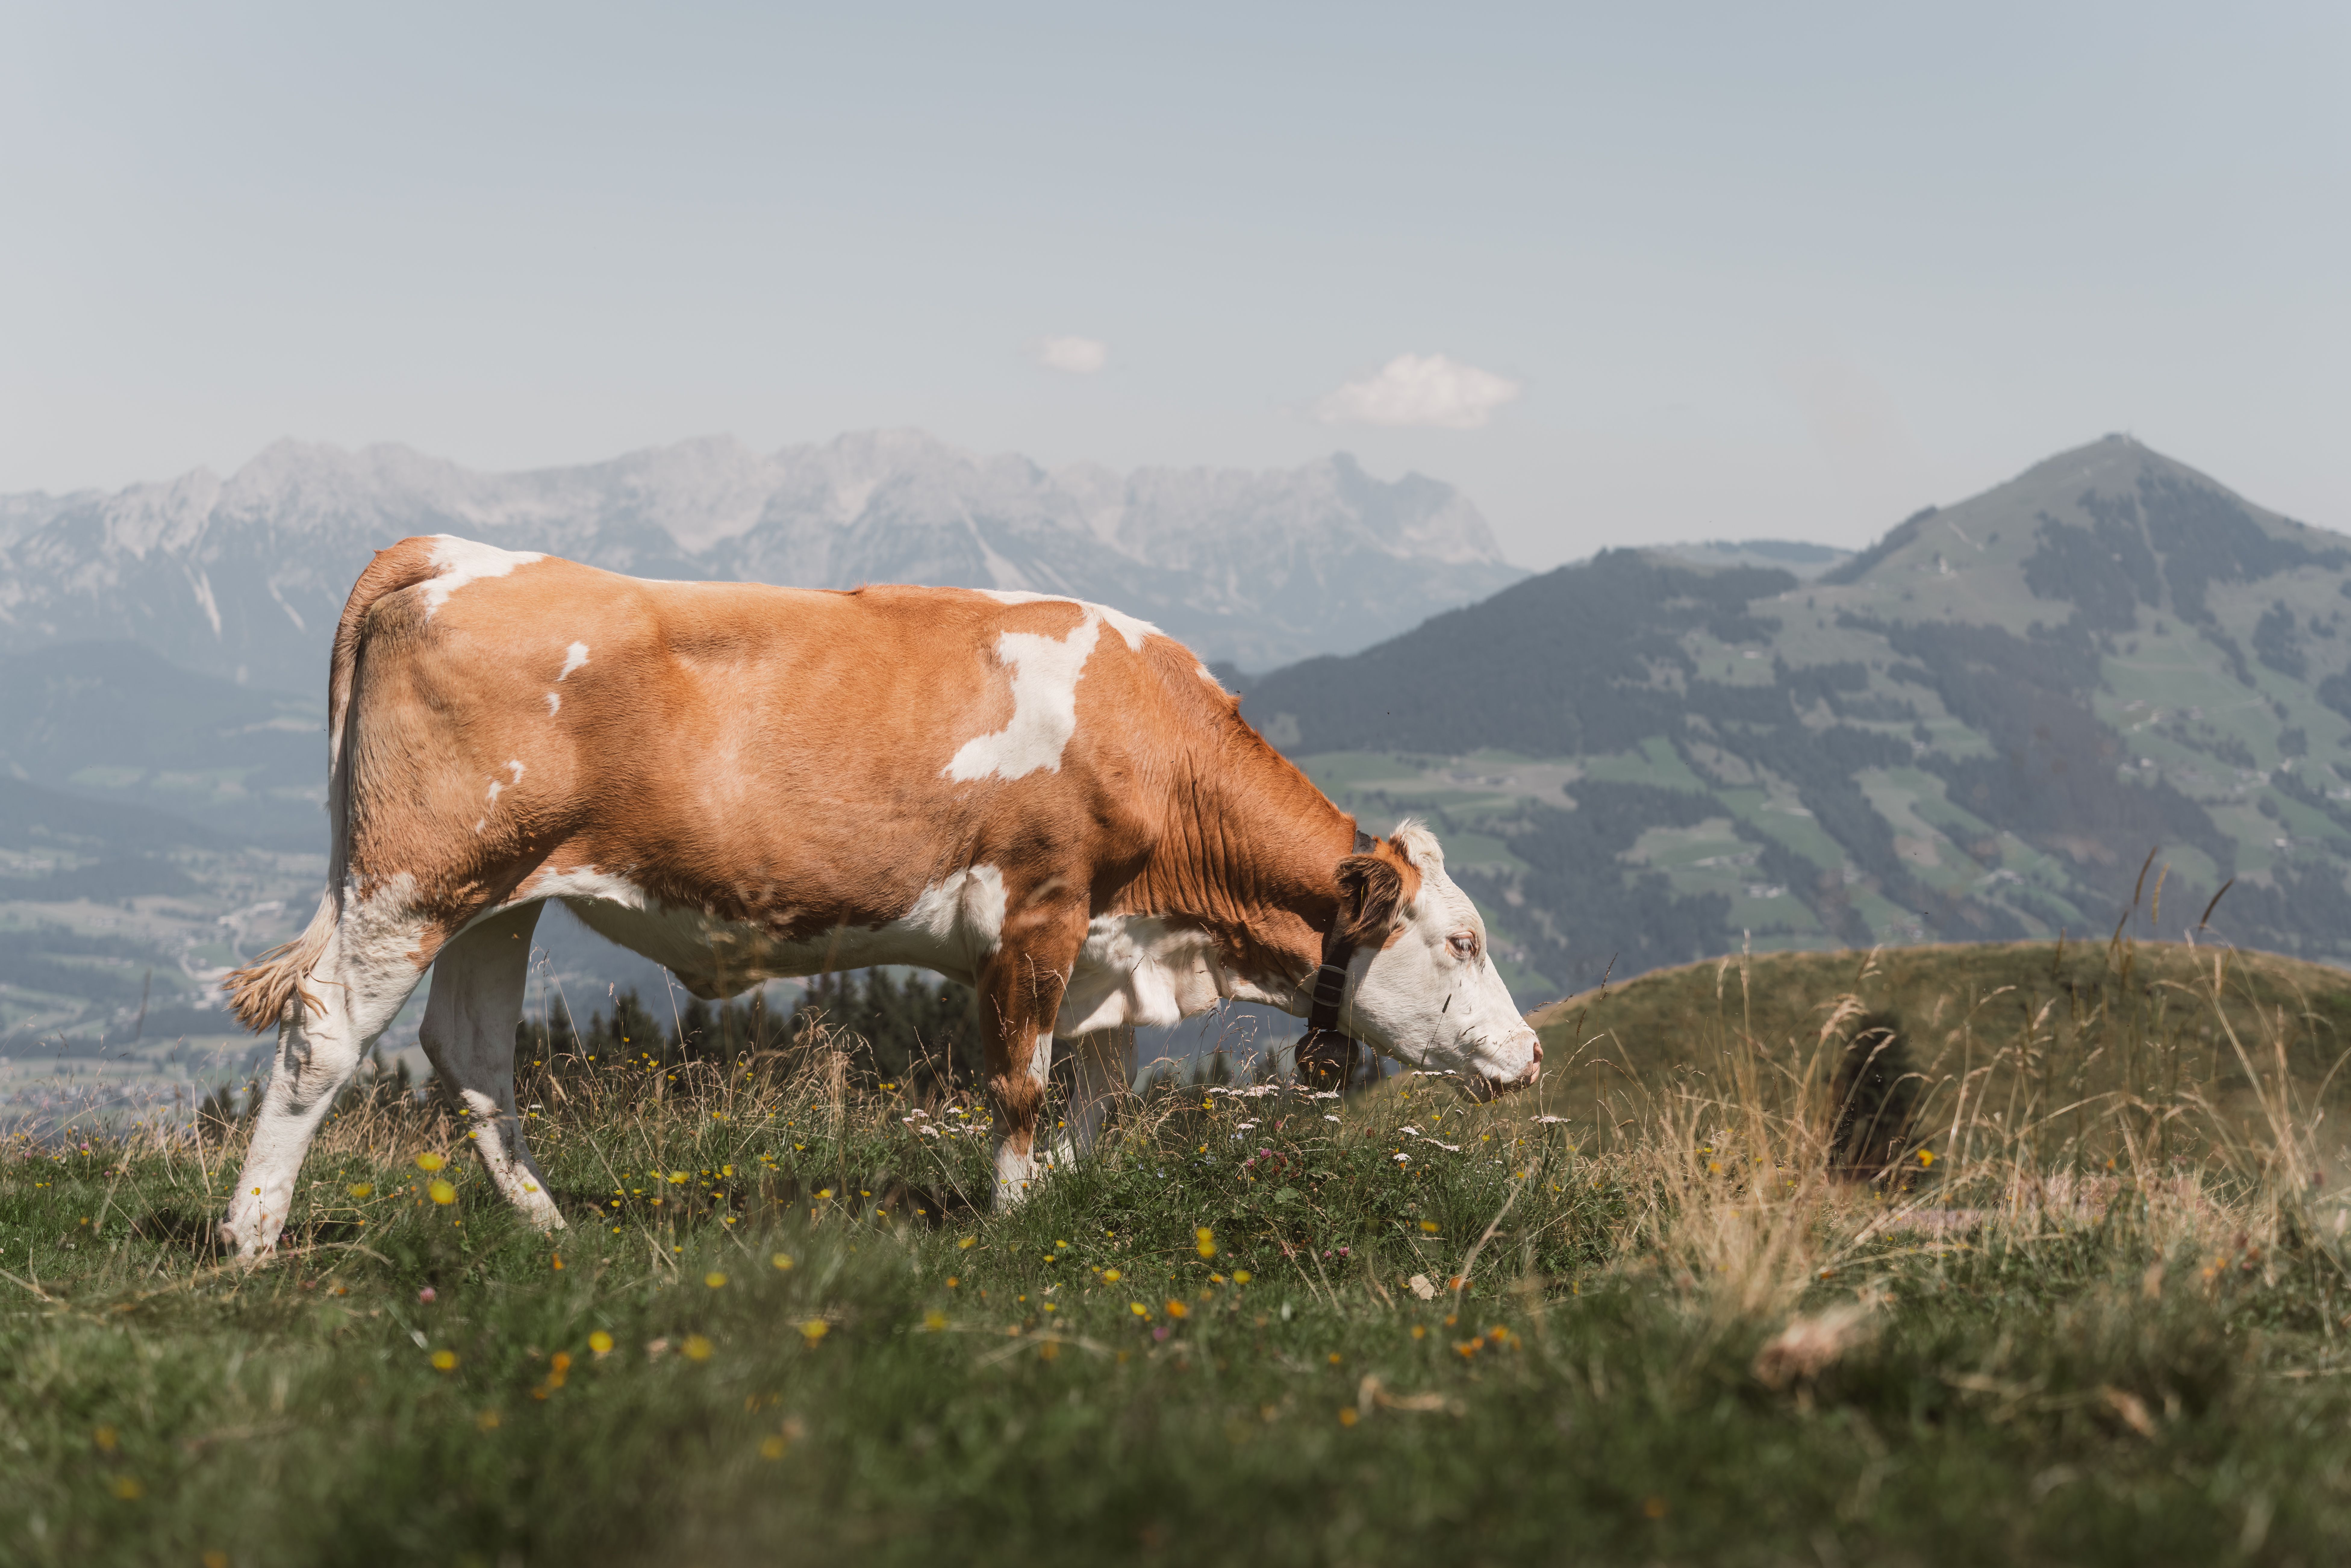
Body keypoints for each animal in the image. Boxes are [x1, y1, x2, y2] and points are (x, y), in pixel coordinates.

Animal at [217, 536, 1543, 1257]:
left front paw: (1070, 1192)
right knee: (327, 1030)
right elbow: (1020, 1082)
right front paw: (1013, 1216)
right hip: (410, 878)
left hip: (497, 894)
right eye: (1461, 939)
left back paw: (549, 1228)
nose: (1528, 1053)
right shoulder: (1037, 909)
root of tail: (462, 552)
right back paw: (250, 1239)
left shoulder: (1104, 945)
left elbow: (1101, 1089)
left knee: (473, 1049)